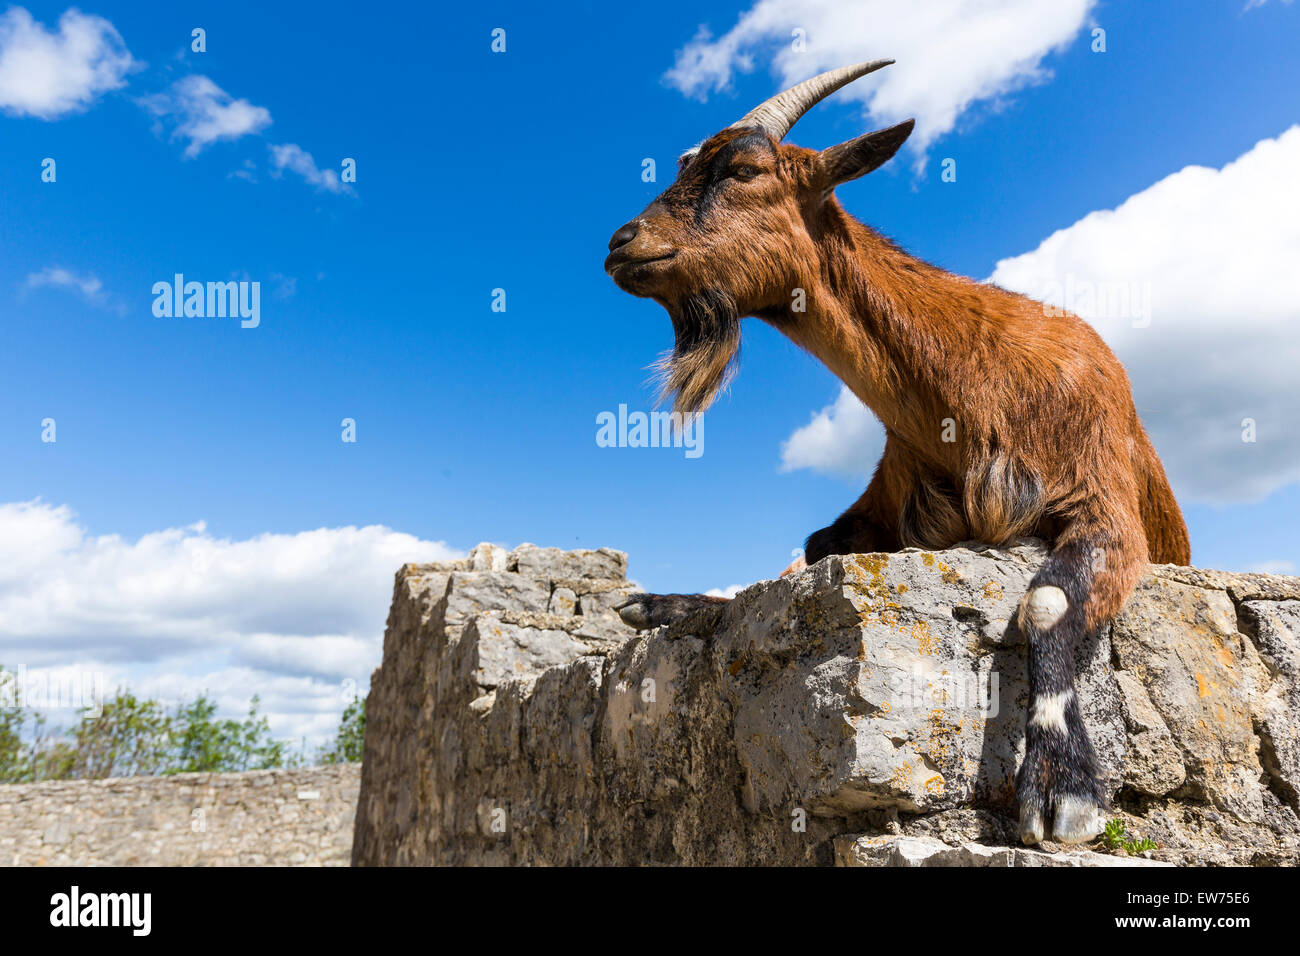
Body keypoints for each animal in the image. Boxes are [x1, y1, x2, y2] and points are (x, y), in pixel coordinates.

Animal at [604, 60, 1190, 846]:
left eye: (746, 169)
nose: (621, 242)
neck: (967, 390)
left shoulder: (1102, 492)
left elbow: (1045, 603)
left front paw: (1062, 789)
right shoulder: (881, 507)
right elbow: (808, 553)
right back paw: (652, 605)